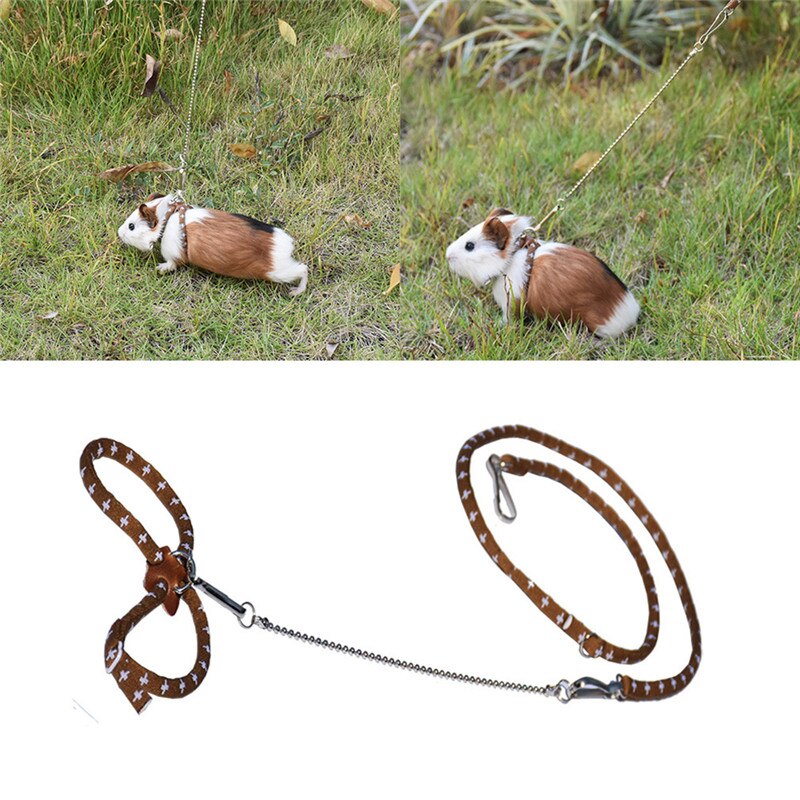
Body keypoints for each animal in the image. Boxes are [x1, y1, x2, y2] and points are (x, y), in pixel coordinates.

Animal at [118, 193, 308, 295]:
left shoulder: (173, 256)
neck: (169, 220)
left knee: (304, 269)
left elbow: (171, 264)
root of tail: (287, 244)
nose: (119, 233)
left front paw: (160, 268)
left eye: (131, 226)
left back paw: (296, 292)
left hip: (278, 273)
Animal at [446, 209, 639, 338]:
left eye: (469, 246)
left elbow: (508, 318)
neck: (511, 260)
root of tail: (630, 311)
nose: (447, 255)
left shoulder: (510, 304)